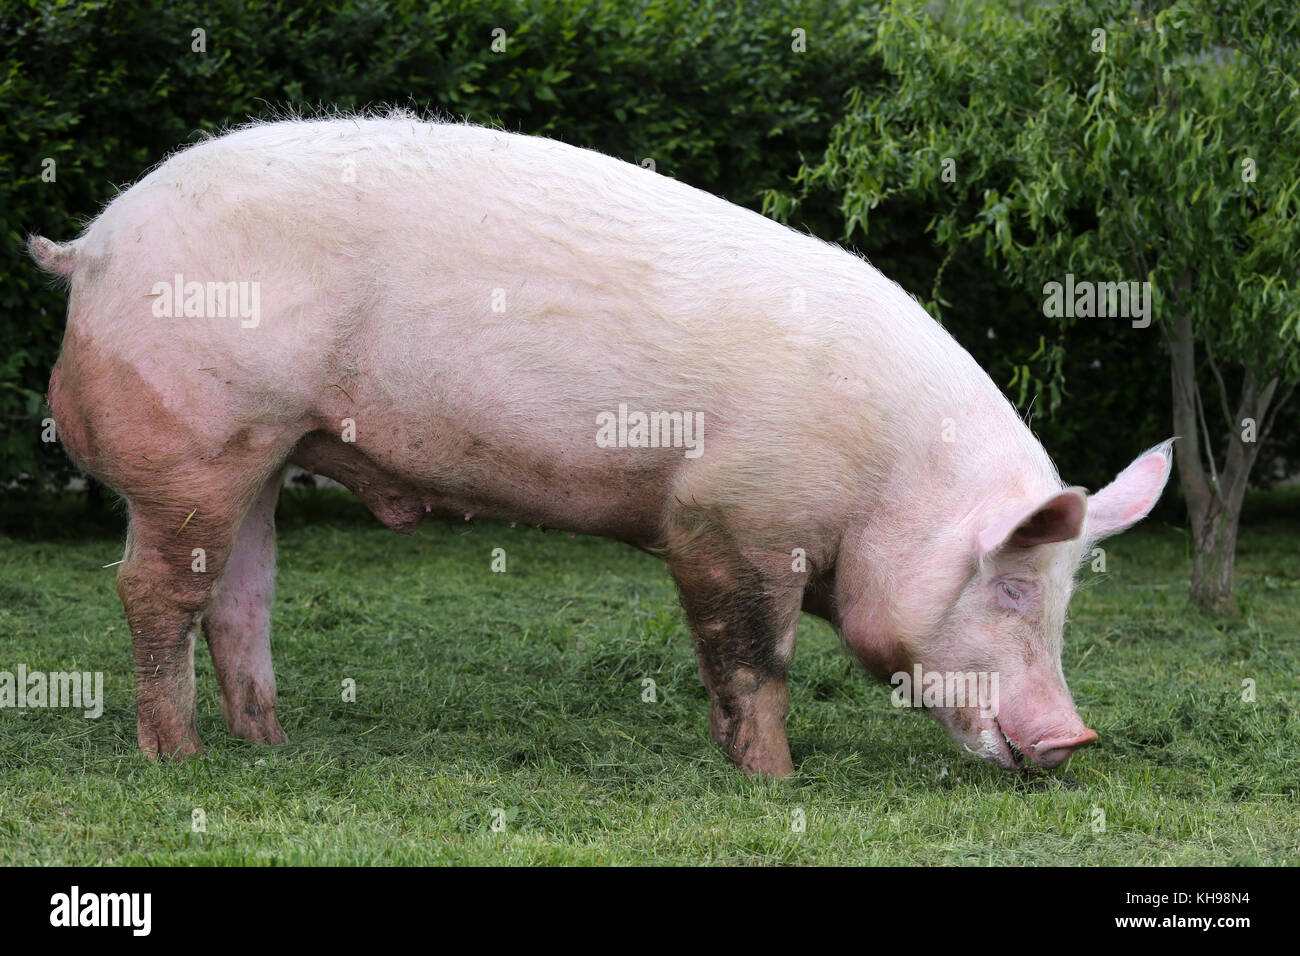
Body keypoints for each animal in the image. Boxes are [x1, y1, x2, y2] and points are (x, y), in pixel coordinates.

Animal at [29, 113, 1171, 776]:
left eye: (1066, 600)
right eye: (1012, 585)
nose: (1074, 735)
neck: (886, 482)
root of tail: (92, 244)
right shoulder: (726, 513)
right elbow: (756, 659)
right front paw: (773, 779)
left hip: (268, 446)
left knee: (241, 594)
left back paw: (270, 744)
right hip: (193, 439)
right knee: (152, 589)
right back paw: (177, 760)